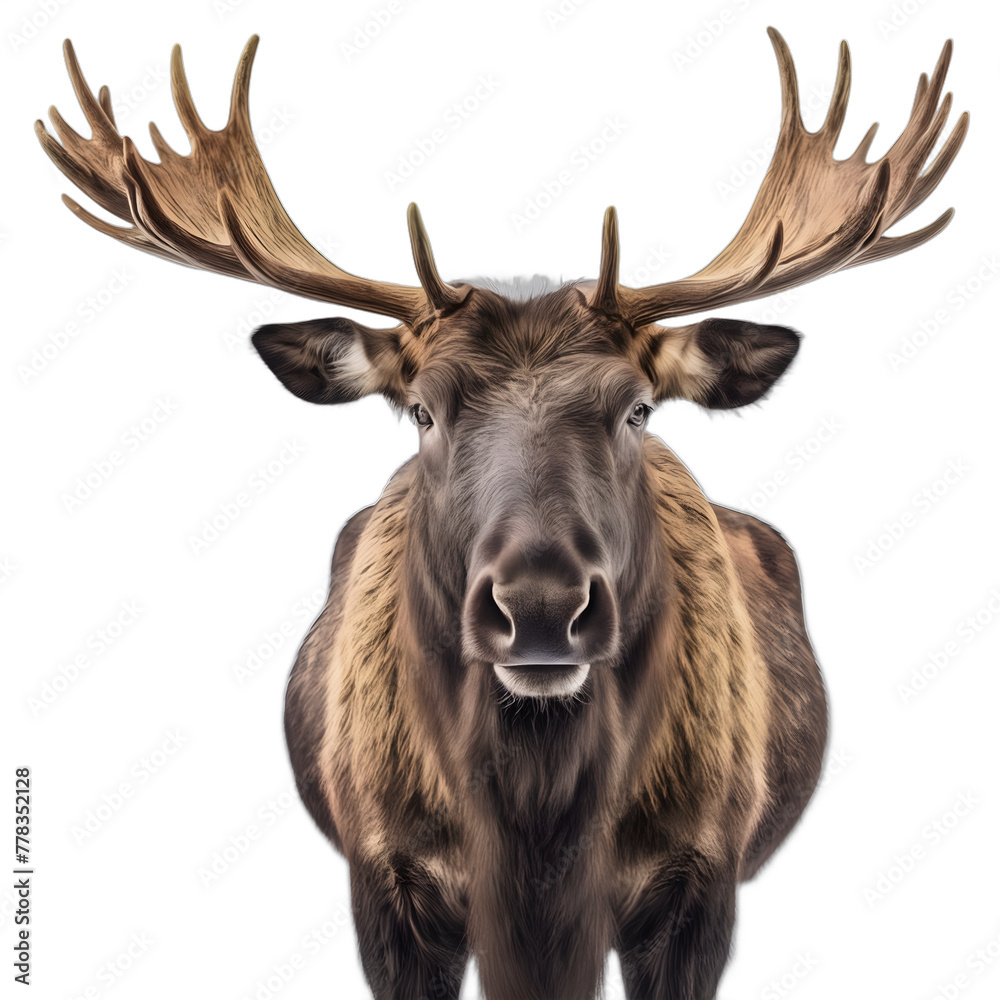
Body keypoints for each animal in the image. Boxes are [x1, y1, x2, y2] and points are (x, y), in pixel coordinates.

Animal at [36, 27, 966, 1000]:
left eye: (639, 408)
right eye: (422, 409)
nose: (543, 606)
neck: (536, 826)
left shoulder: (702, 872)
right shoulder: (386, 872)